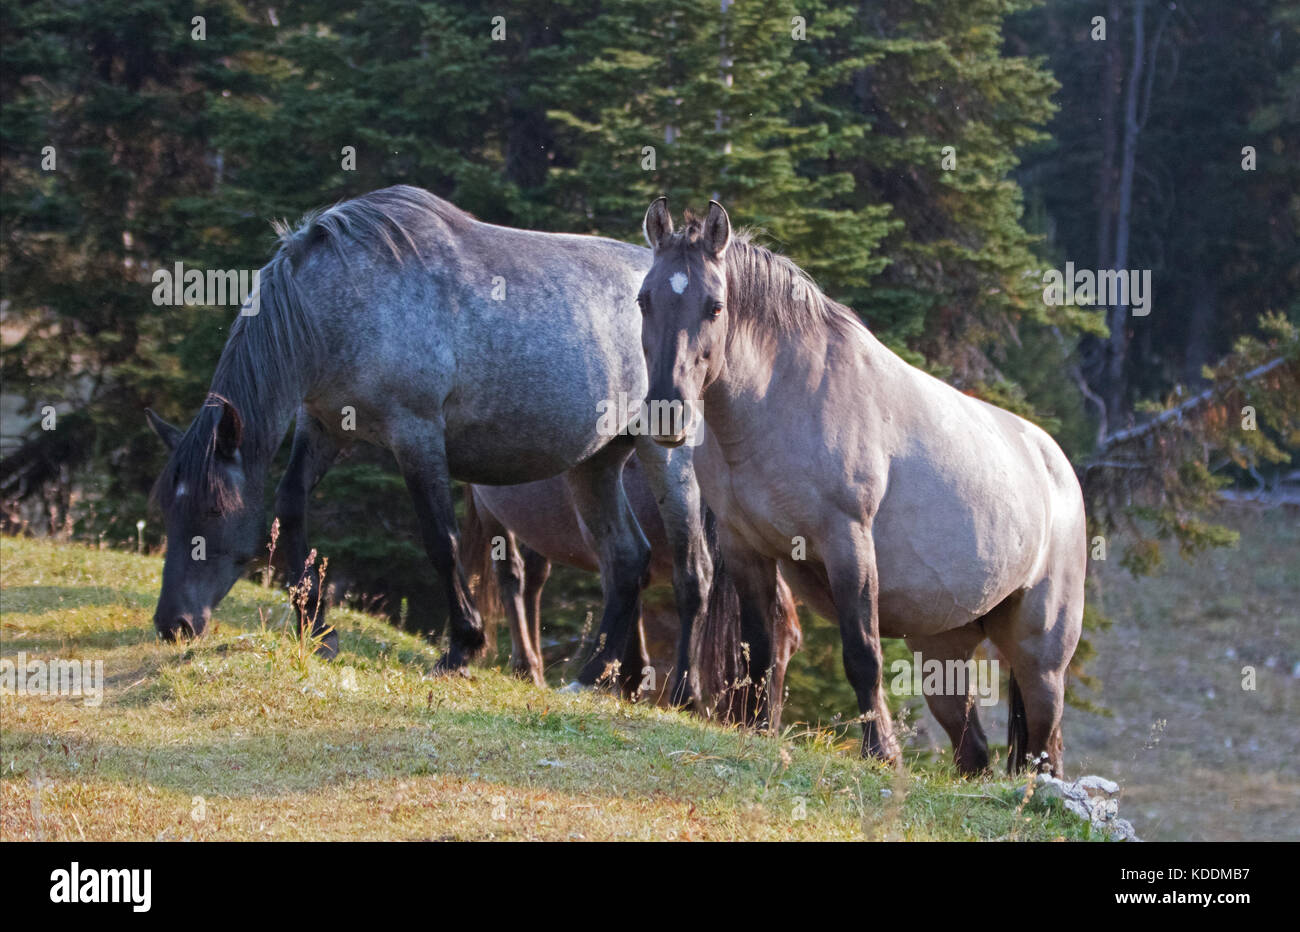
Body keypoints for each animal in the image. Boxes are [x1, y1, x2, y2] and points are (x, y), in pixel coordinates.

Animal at [144, 185, 712, 693]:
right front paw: (317, 628)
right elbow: (291, 503)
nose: (173, 624)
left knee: (692, 571)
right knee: (626, 561)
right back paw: (598, 676)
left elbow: (441, 541)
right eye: (168, 511)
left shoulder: (416, 435)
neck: (344, 299)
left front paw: (462, 647)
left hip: (665, 457)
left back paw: (681, 692)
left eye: (212, 510)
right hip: (593, 465)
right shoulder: (324, 427)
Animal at [462, 455, 803, 725]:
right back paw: (527, 667)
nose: (765, 727)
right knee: (513, 574)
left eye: (793, 645)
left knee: (530, 576)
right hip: (491, 507)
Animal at [637, 198, 1086, 776]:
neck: (784, 398)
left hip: (1040, 658)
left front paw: (883, 753)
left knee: (1041, 747)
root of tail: (1058, 467)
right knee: (975, 752)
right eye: (644, 300)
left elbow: (863, 655)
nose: (666, 410)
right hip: (944, 651)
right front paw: (758, 729)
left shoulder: (848, 542)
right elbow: (759, 650)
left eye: (715, 307)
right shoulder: (746, 548)